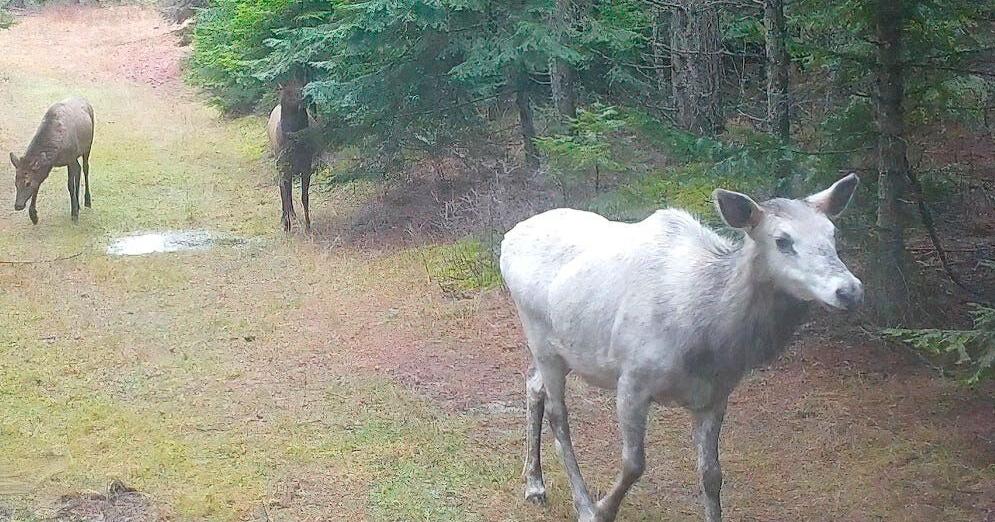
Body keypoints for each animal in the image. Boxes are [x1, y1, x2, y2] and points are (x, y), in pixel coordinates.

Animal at [266, 78, 315, 232]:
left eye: (302, 88)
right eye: (287, 95)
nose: (304, 98)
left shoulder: (306, 168)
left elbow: (304, 197)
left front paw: (308, 226)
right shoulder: (285, 167)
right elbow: (286, 195)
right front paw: (286, 226)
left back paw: (292, 215)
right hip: (280, 164)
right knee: (283, 190)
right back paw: (285, 218)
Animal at [499, 174, 863, 522]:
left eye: (832, 234)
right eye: (782, 240)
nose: (850, 291)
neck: (712, 340)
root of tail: (507, 240)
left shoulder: (716, 395)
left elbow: (711, 474)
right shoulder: (632, 379)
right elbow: (634, 463)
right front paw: (602, 511)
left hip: (566, 351)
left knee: (533, 385)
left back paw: (534, 484)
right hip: (541, 339)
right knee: (558, 416)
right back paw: (582, 503)